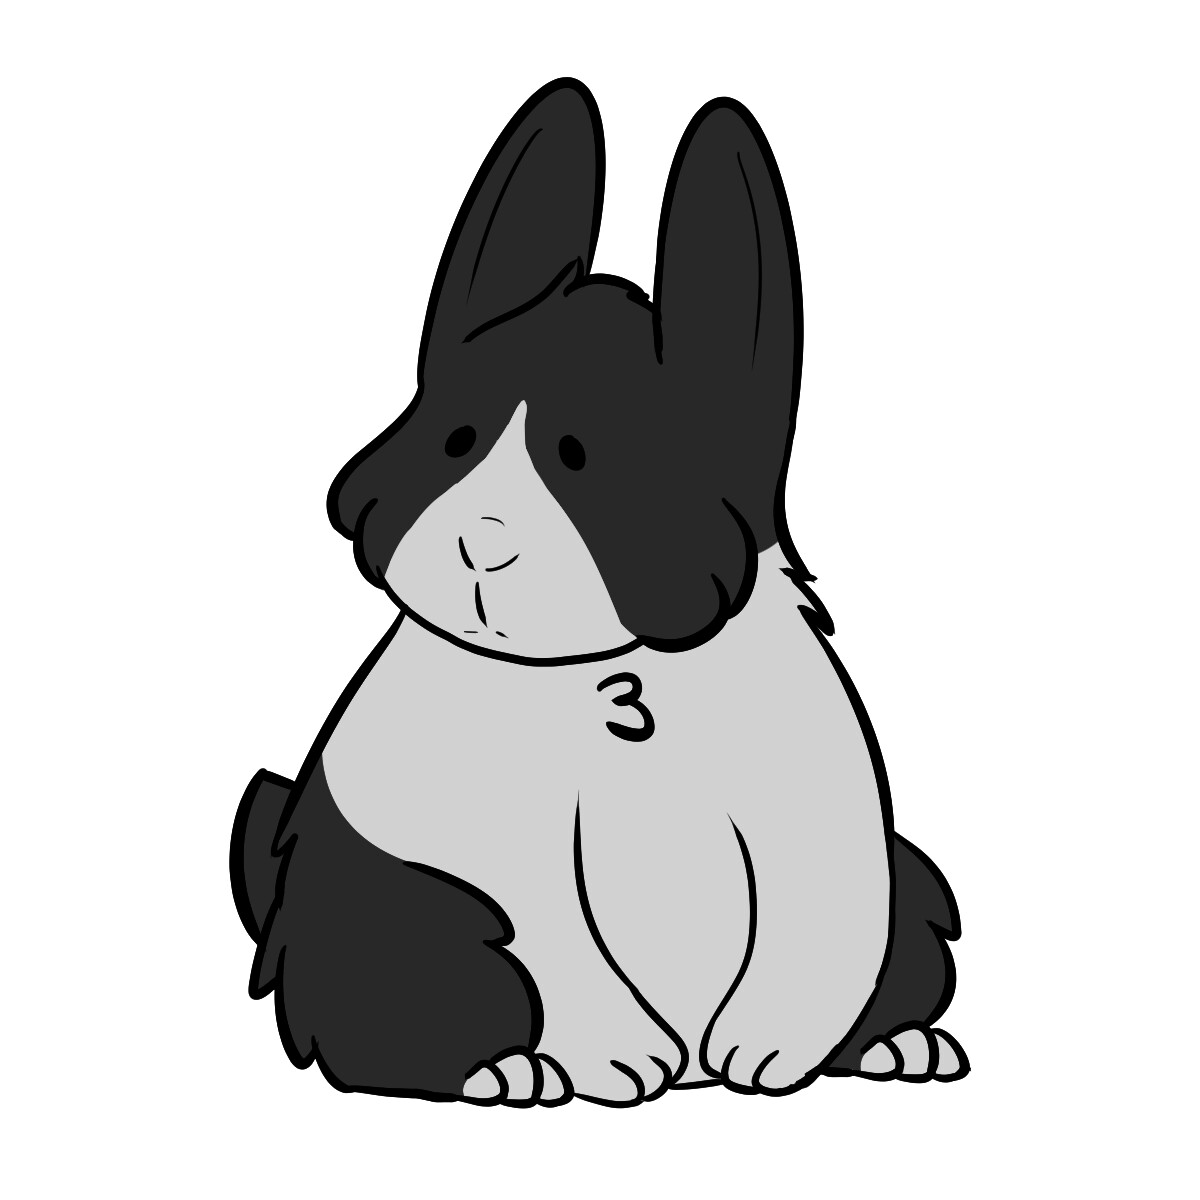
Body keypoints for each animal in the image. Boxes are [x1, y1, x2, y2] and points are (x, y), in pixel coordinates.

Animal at [230, 78, 968, 1106]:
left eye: (587, 461)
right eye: (457, 441)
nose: (481, 543)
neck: (617, 678)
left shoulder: (817, 789)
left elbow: (824, 912)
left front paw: (773, 1050)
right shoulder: (498, 844)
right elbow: (554, 941)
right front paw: (618, 1059)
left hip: (914, 879)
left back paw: (896, 1047)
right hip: (402, 912)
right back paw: (508, 1070)